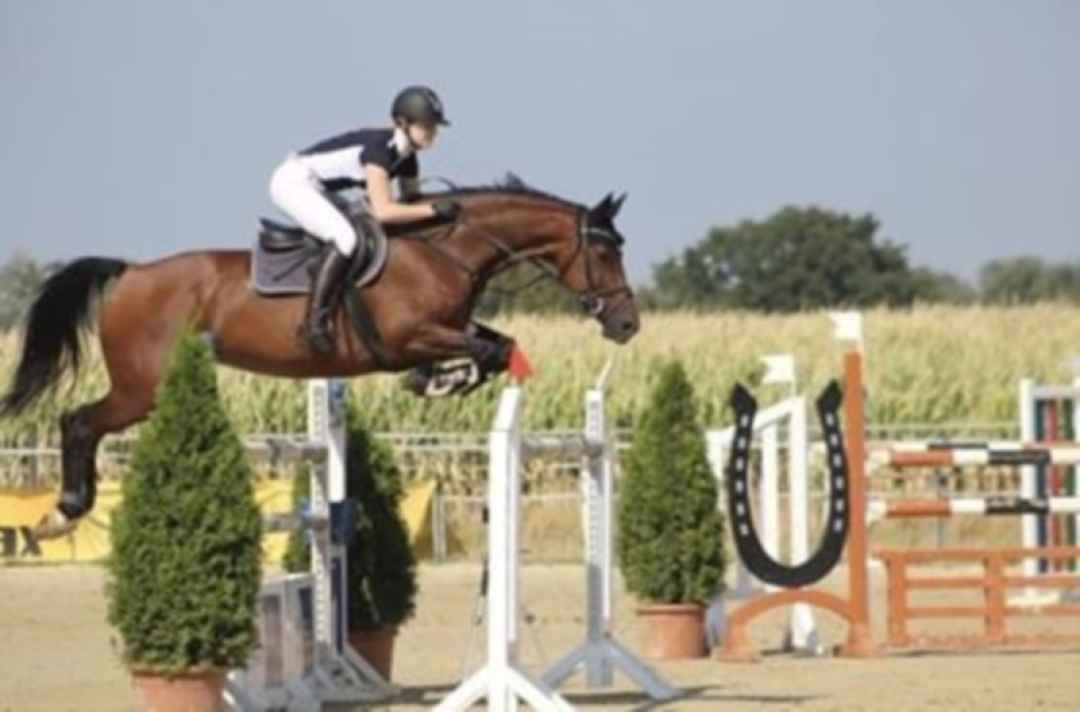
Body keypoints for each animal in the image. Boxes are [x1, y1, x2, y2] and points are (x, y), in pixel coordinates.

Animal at [0, 177, 640, 540]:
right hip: (142, 388)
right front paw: (436, 381)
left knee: (80, 421)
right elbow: (487, 348)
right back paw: (64, 511)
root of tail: (131, 273)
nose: (627, 324)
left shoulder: (447, 327)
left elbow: (498, 346)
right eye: (605, 252)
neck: (445, 250)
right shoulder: (409, 336)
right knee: (78, 421)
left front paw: (440, 381)